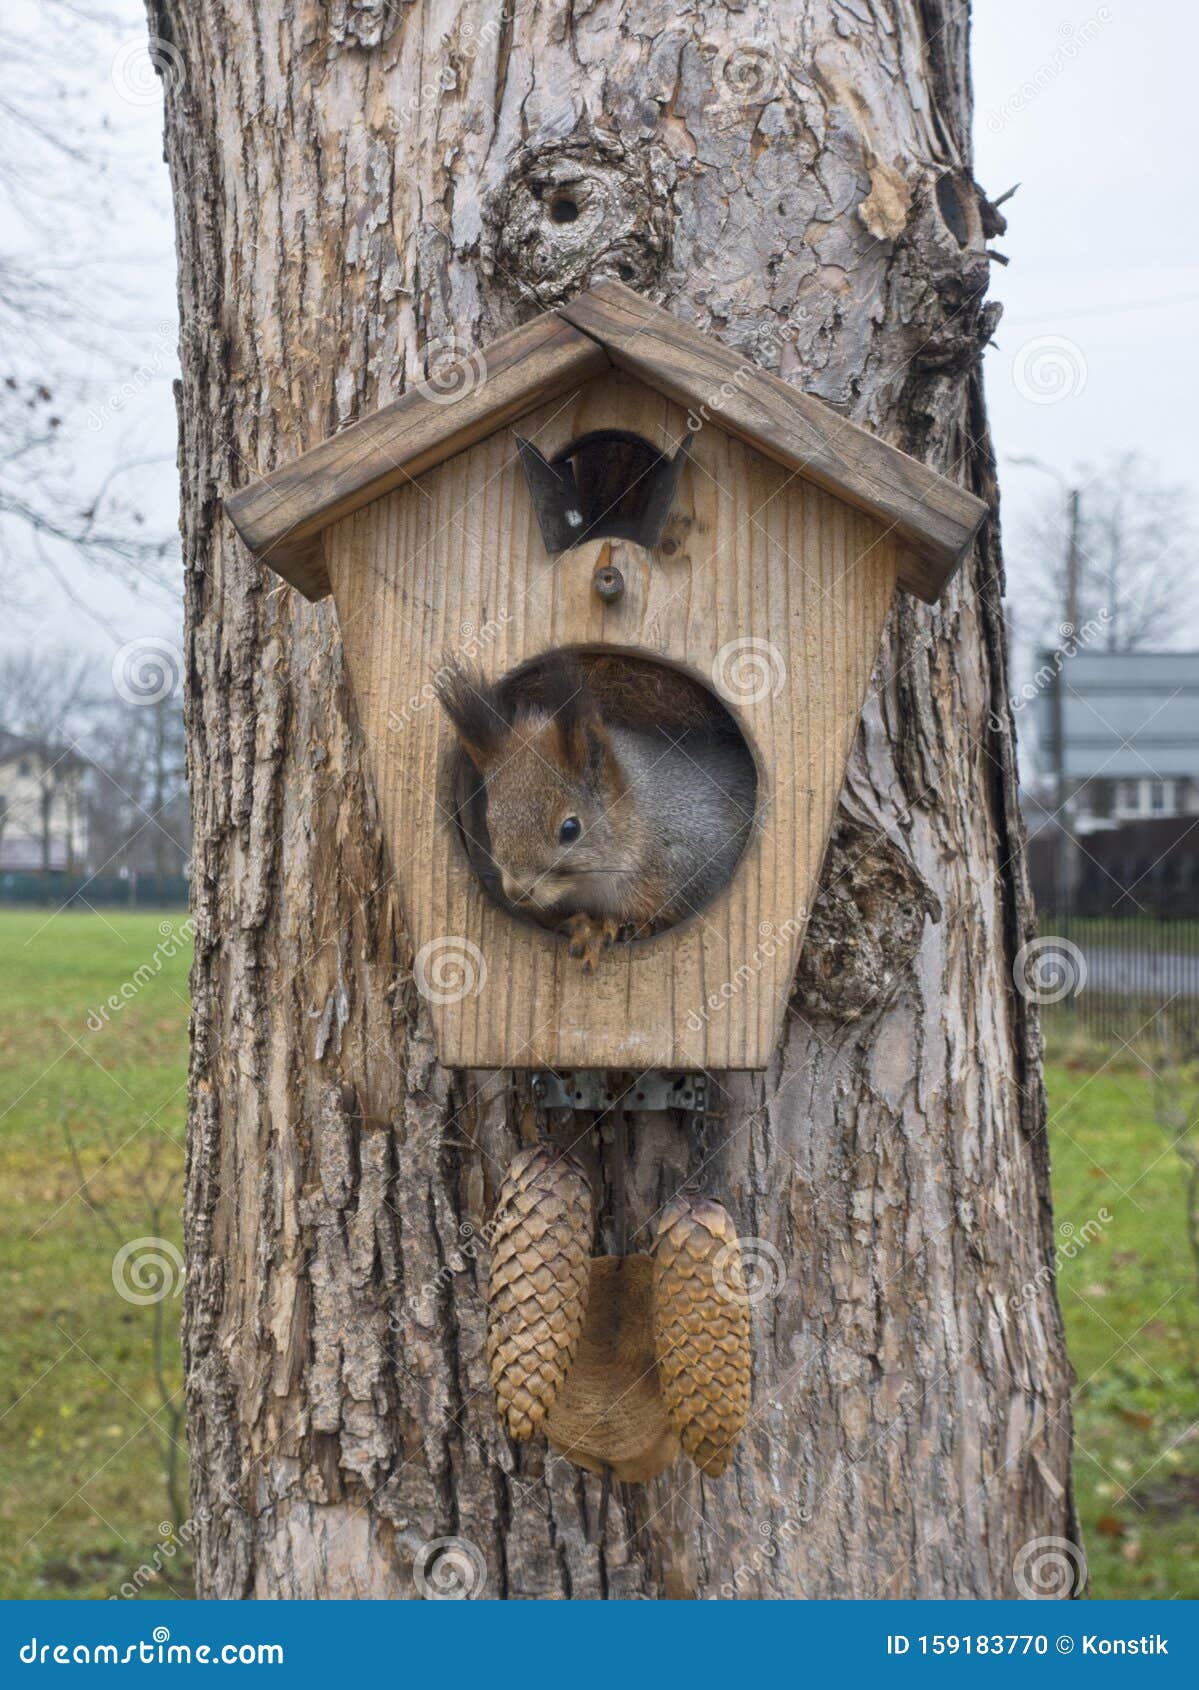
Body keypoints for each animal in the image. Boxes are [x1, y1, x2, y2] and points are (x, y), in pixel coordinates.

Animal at [435, 651, 757, 969]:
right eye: (491, 824)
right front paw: (585, 927)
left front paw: (618, 927)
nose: (518, 892)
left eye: (570, 829)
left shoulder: (694, 859)